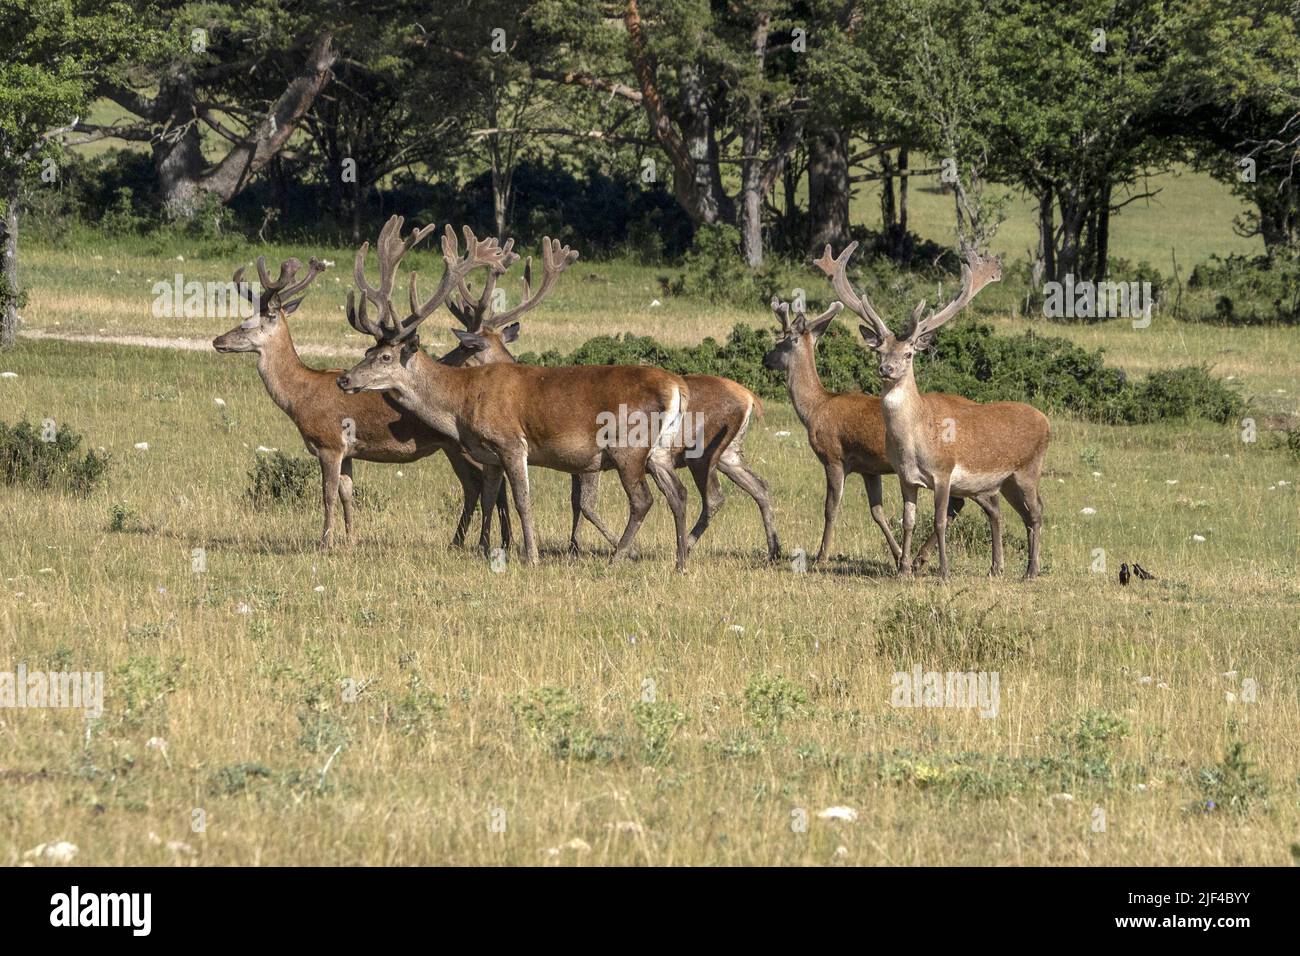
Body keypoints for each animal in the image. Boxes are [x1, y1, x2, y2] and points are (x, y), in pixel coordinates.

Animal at [212, 225, 507, 550]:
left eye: (247, 324)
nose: (217, 340)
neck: (299, 397)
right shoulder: (349, 452)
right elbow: (347, 494)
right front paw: (352, 539)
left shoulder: (329, 443)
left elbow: (327, 494)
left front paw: (325, 543)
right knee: (478, 484)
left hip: (465, 445)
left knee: (488, 483)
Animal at [336, 225, 695, 570]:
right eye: (367, 351)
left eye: (386, 357)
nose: (344, 378)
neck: (462, 403)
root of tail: (677, 386)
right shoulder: (490, 453)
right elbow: (490, 495)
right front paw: (485, 549)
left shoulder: (511, 442)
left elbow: (523, 500)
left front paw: (531, 556)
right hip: (659, 450)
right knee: (678, 493)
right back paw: (680, 562)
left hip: (628, 445)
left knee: (642, 499)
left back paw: (618, 557)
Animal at [442, 259, 782, 562]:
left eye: (462, 347)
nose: (443, 361)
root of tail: (751, 397)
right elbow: (575, 502)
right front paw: (574, 547)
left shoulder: (581, 456)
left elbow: (585, 504)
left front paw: (607, 549)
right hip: (728, 453)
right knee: (759, 487)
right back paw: (770, 550)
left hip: (682, 451)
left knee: (706, 497)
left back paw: (666, 549)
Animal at [762, 297, 984, 571]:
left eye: (780, 342)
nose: (765, 359)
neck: (815, 408)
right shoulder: (869, 468)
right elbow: (877, 512)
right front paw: (898, 555)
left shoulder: (834, 457)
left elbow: (830, 508)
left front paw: (821, 557)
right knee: (958, 503)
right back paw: (920, 557)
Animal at [815, 243, 1051, 579]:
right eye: (878, 351)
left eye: (909, 353)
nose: (887, 369)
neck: (915, 440)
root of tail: (1046, 421)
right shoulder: (906, 477)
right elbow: (909, 521)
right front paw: (903, 569)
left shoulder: (943, 471)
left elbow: (939, 521)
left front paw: (944, 572)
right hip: (1005, 482)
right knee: (1016, 512)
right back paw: (1003, 568)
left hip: (1029, 470)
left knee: (1037, 512)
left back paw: (1031, 571)